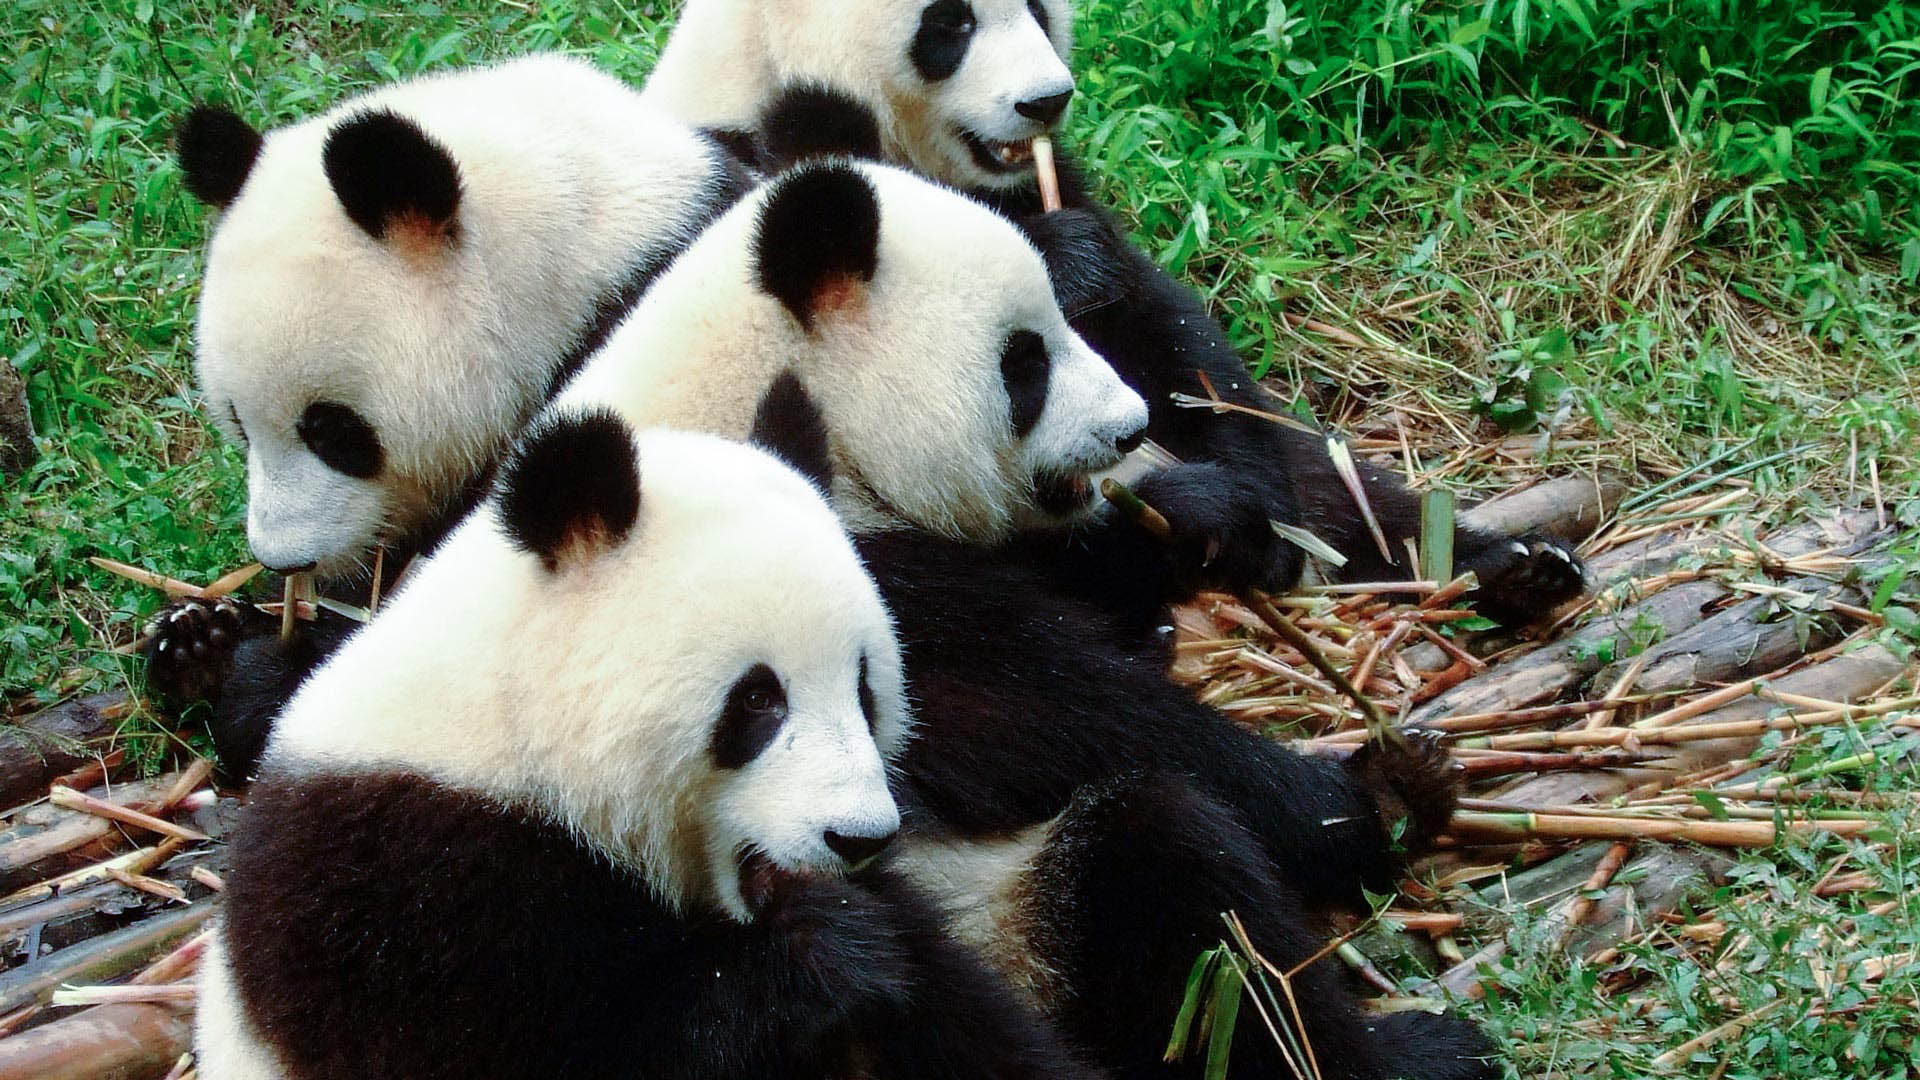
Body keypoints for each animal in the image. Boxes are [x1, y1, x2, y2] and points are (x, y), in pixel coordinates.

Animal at [553, 158, 1499, 1079]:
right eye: (1026, 360)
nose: (1132, 428)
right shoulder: (857, 594)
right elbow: (1079, 721)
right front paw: (1369, 799)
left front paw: (1217, 524)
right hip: (1001, 921)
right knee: (1188, 897)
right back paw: (1411, 1052)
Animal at [639, 1, 1593, 627]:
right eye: (949, 24)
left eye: (1035, 2)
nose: (1046, 100)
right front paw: (1209, 527)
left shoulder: (1046, 187)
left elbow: (1168, 334)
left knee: (1340, 487)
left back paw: (1504, 568)